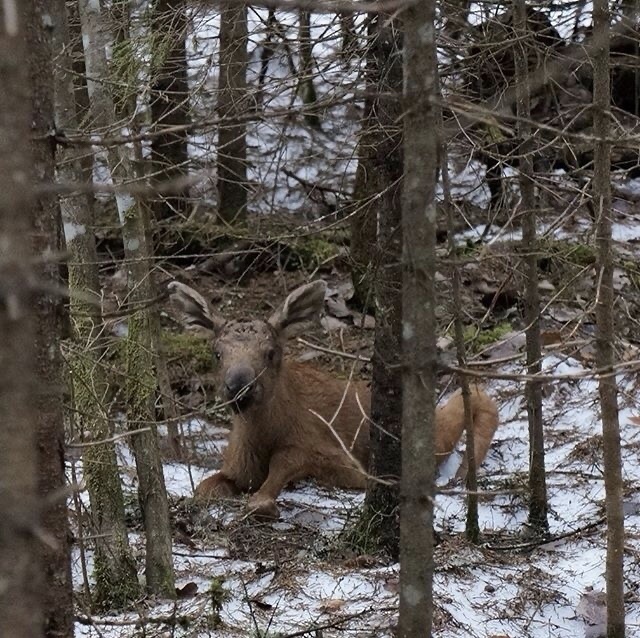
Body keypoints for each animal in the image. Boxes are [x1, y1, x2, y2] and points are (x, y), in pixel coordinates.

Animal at [168, 279, 500, 520]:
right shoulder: (236, 464)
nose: (238, 388)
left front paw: (262, 503)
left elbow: (285, 464)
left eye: (271, 353)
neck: (263, 435)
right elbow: (204, 488)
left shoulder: (331, 453)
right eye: (217, 353)